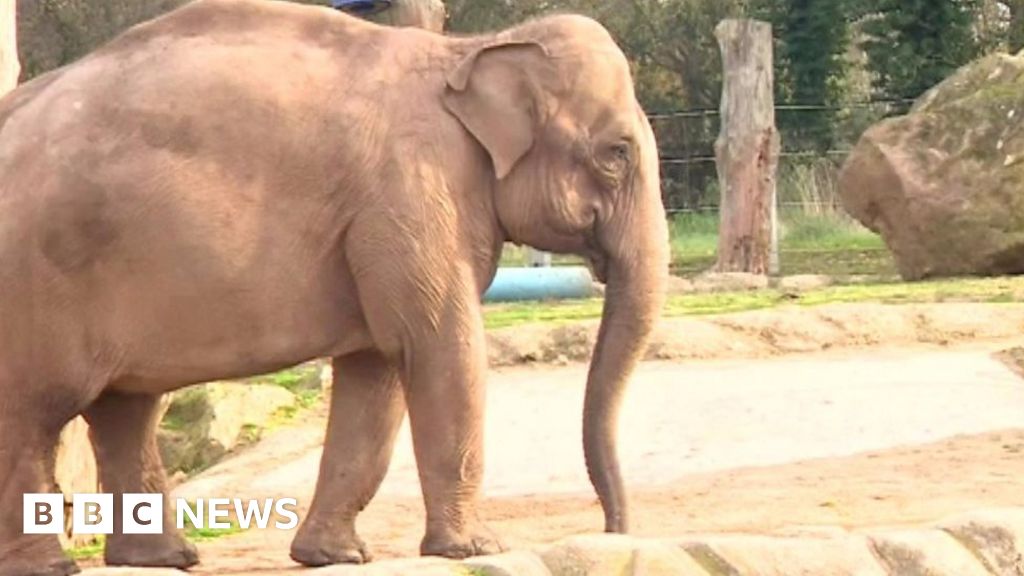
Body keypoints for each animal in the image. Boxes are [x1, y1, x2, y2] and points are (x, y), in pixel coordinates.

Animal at [0, 0, 669, 574]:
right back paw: (52, 566)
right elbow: (439, 349)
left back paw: (165, 560)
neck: (466, 52)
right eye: (616, 154)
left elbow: (376, 372)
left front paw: (335, 557)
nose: (613, 531)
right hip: (35, 285)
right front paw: (476, 548)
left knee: (126, 409)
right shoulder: (413, 196)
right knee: (34, 412)